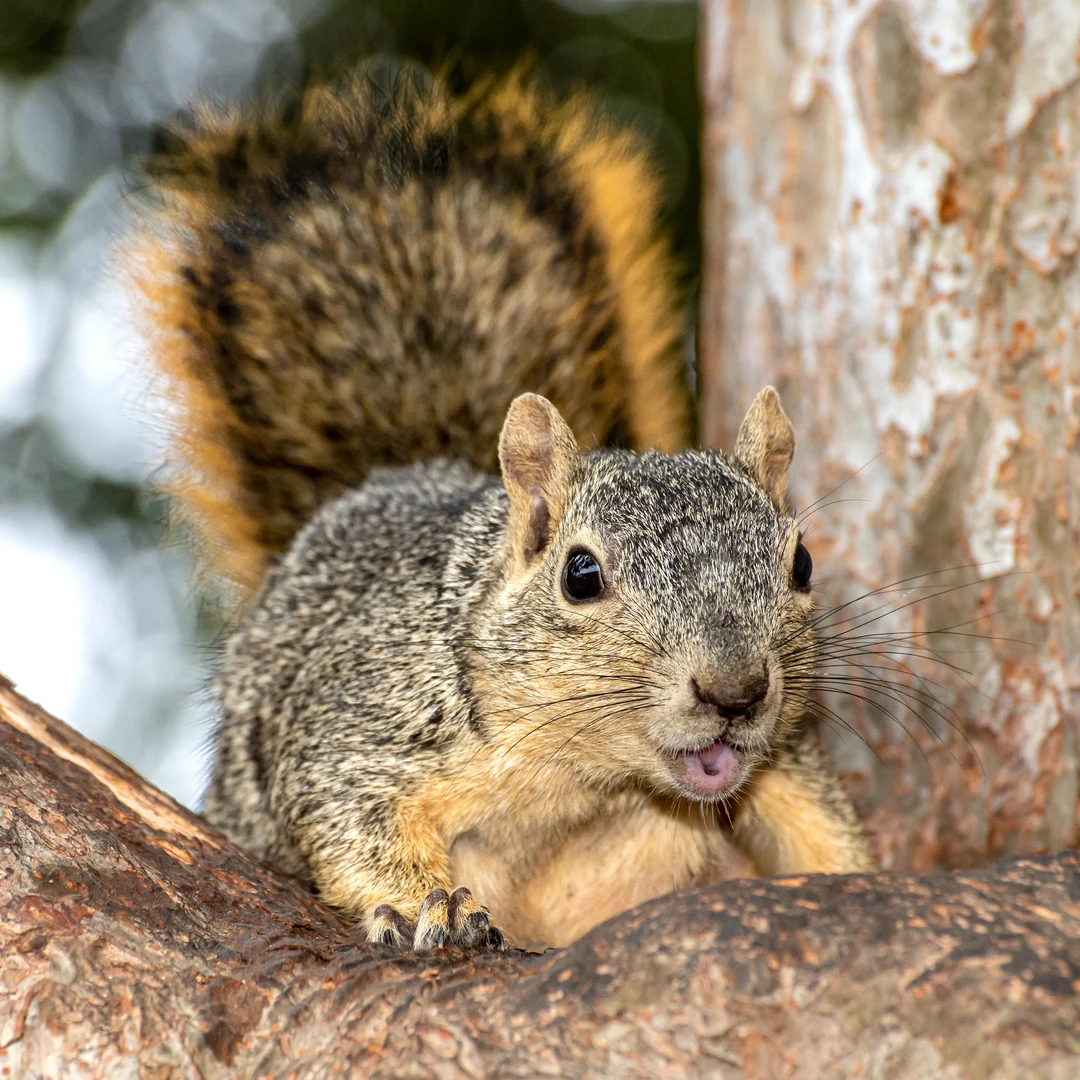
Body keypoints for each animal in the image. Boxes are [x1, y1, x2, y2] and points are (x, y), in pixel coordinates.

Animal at [131, 64, 875, 951]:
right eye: (581, 575)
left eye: (800, 563)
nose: (736, 693)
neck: (591, 781)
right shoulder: (367, 725)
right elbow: (347, 814)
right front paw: (427, 903)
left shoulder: (780, 763)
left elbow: (818, 818)